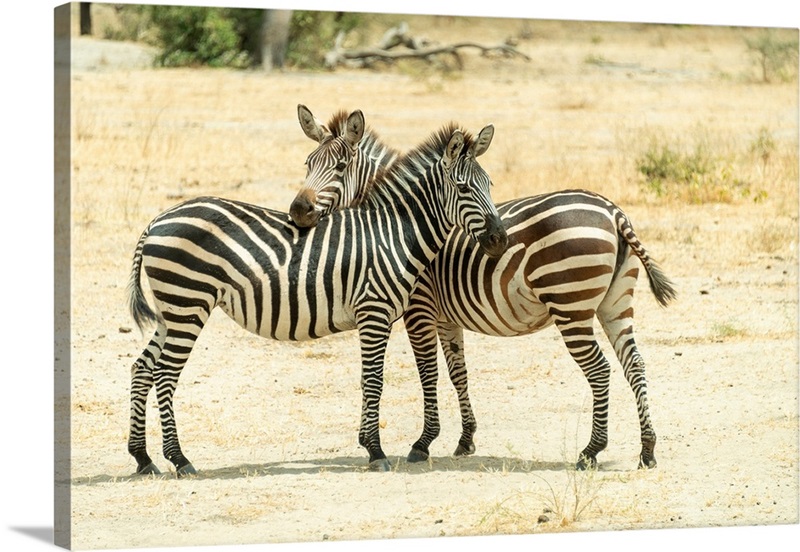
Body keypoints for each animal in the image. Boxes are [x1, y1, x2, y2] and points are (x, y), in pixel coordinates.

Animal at [125, 114, 508, 475]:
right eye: (463, 188)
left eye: (489, 184)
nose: (500, 240)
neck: (393, 233)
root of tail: (157, 220)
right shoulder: (375, 311)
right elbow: (375, 379)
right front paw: (377, 451)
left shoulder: (380, 316)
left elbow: (370, 379)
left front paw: (368, 443)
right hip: (188, 304)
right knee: (165, 374)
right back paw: (179, 459)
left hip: (171, 311)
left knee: (143, 367)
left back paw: (143, 458)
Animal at [290, 106, 676, 470]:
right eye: (307, 163)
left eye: (340, 167)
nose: (298, 210)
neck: (401, 223)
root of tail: (613, 211)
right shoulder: (447, 318)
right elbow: (458, 373)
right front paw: (466, 439)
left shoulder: (418, 310)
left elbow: (428, 374)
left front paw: (423, 443)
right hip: (616, 303)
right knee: (634, 364)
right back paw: (648, 449)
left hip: (571, 306)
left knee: (599, 369)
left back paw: (591, 451)